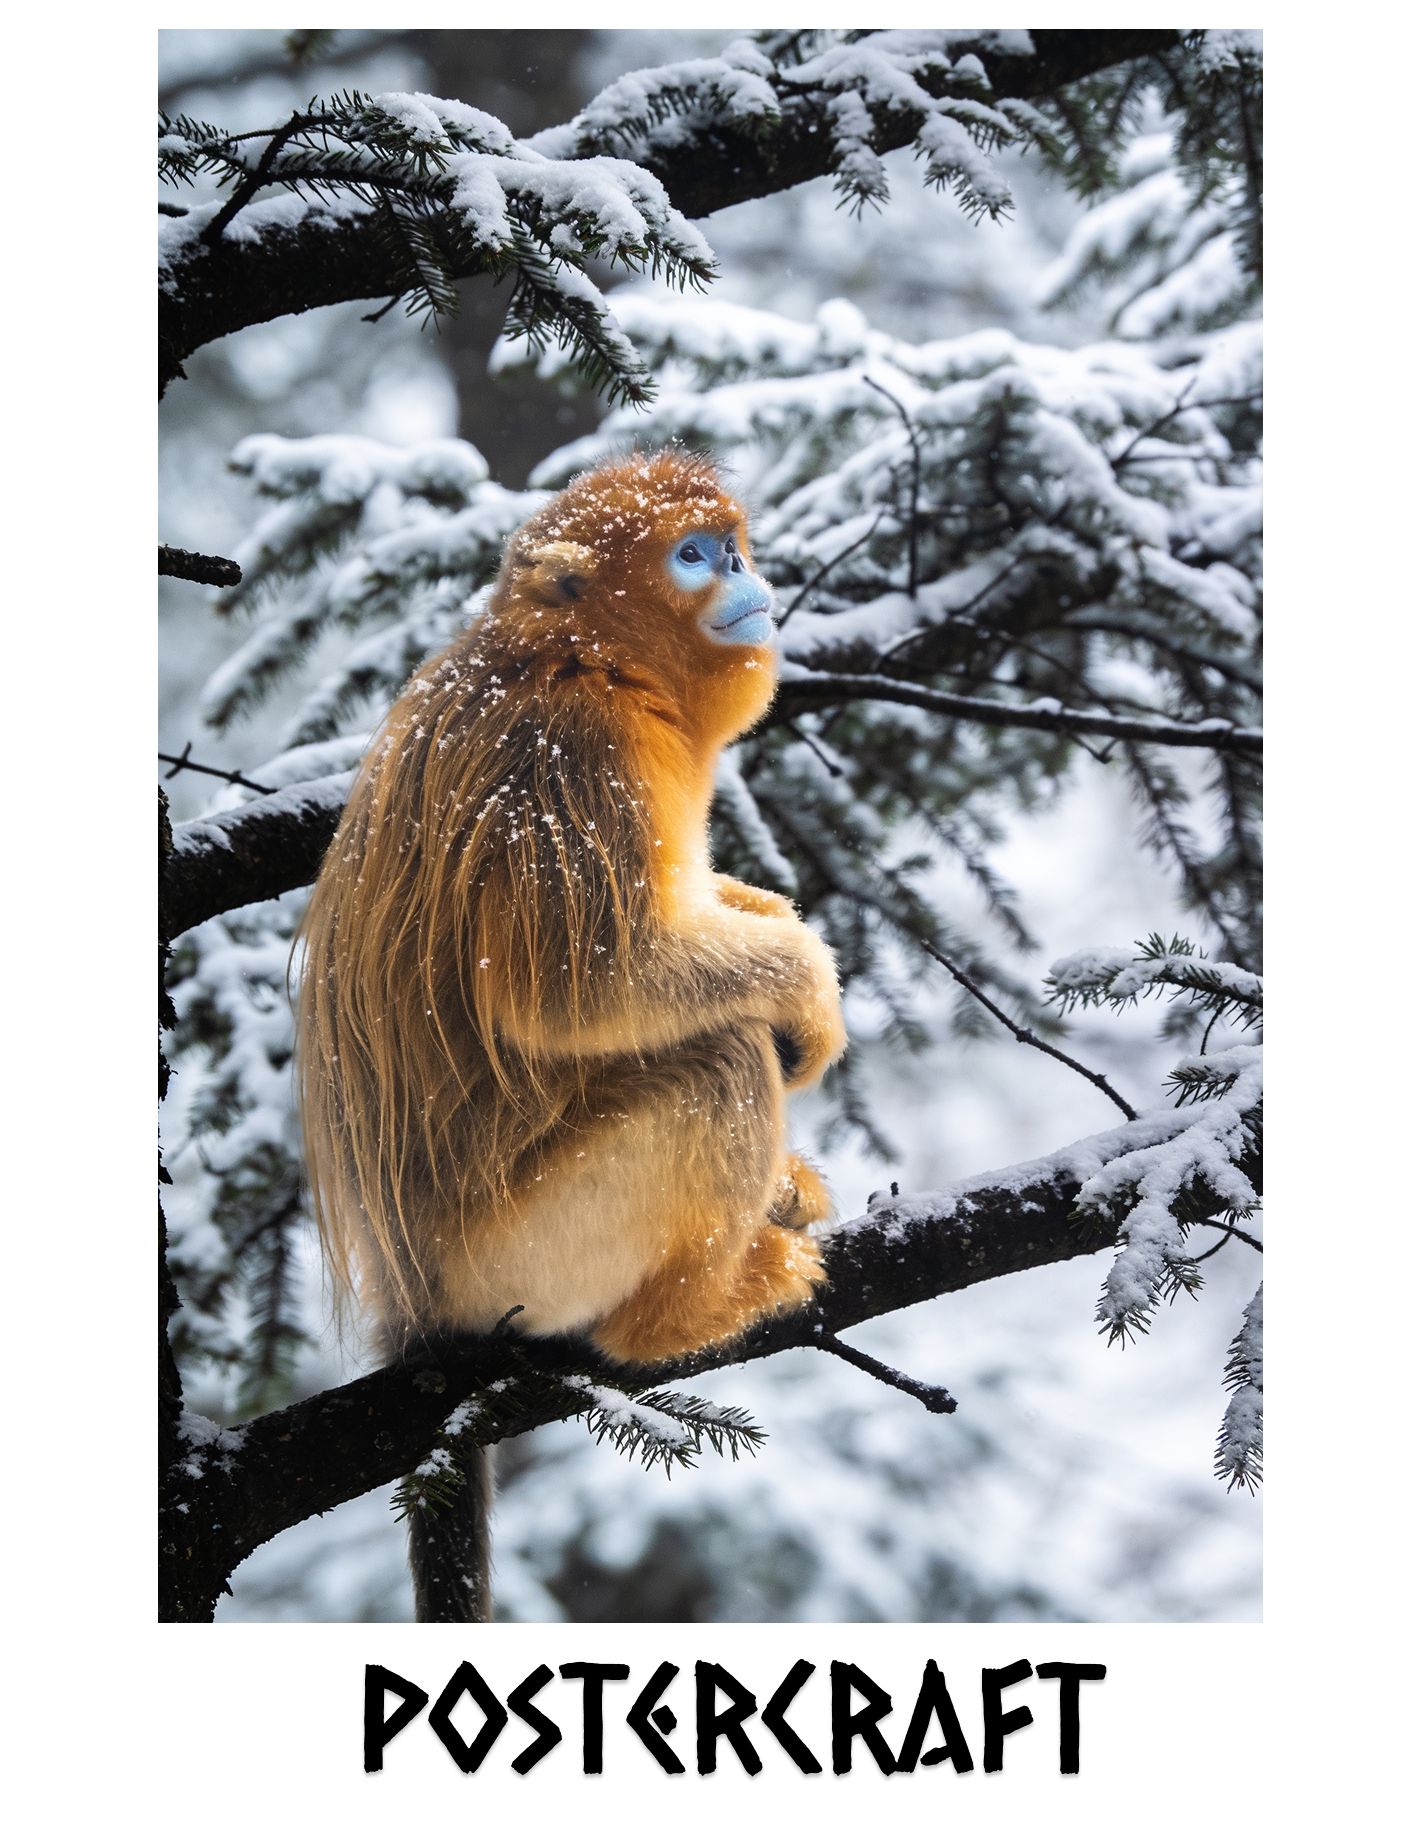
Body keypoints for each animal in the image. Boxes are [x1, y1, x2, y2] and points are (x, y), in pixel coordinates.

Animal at [296, 449, 846, 1620]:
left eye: (732, 546)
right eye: (694, 555)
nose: (743, 573)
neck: (583, 659)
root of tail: (414, 1299)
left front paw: (790, 938)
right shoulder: (571, 760)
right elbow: (585, 990)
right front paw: (808, 990)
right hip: (517, 1255)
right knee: (719, 1057)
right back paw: (684, 1314)